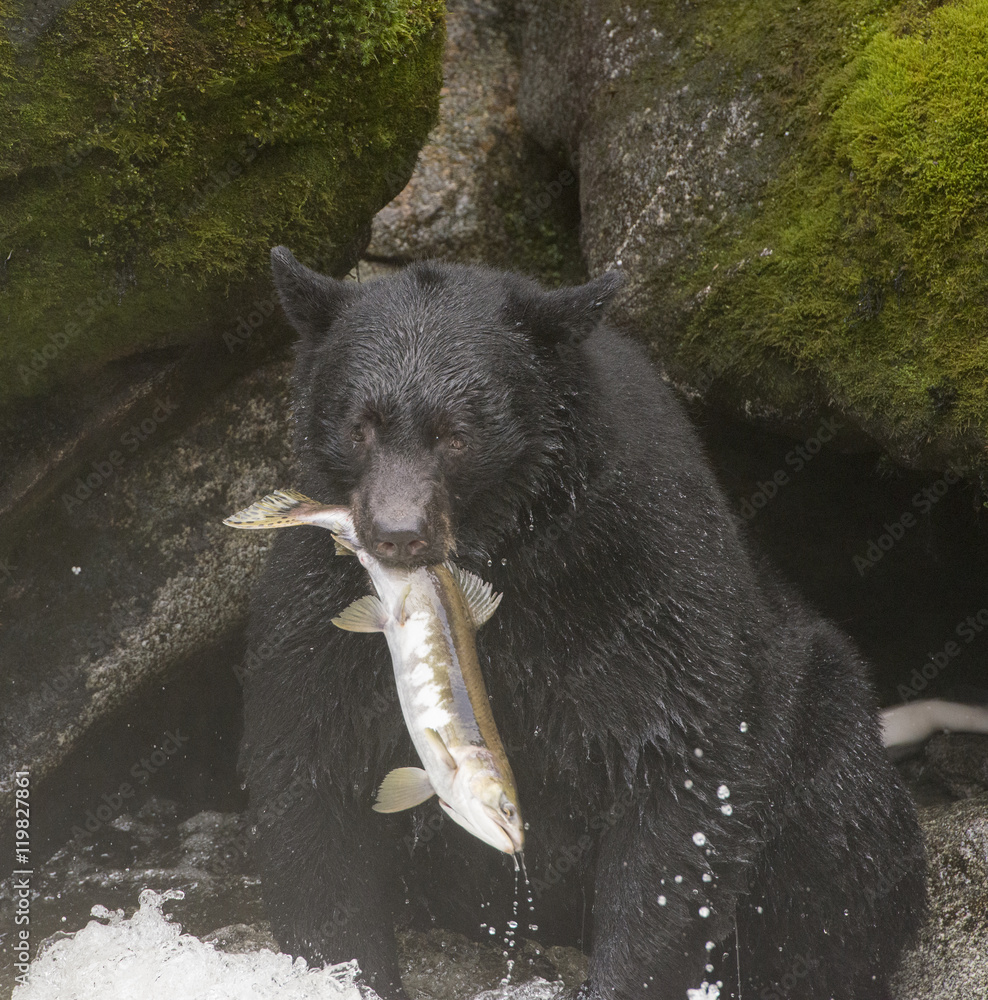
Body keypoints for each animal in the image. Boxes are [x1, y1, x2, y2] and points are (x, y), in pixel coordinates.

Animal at [238, 246, 927, 1000]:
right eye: (359, 424)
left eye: (457, 435)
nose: (395, 535)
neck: (500, 553)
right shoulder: (317, 597)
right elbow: (310, 769)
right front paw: (343, 969)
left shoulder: (645, 575)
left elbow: (685, 773)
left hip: (826, 707)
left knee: (839, 852)